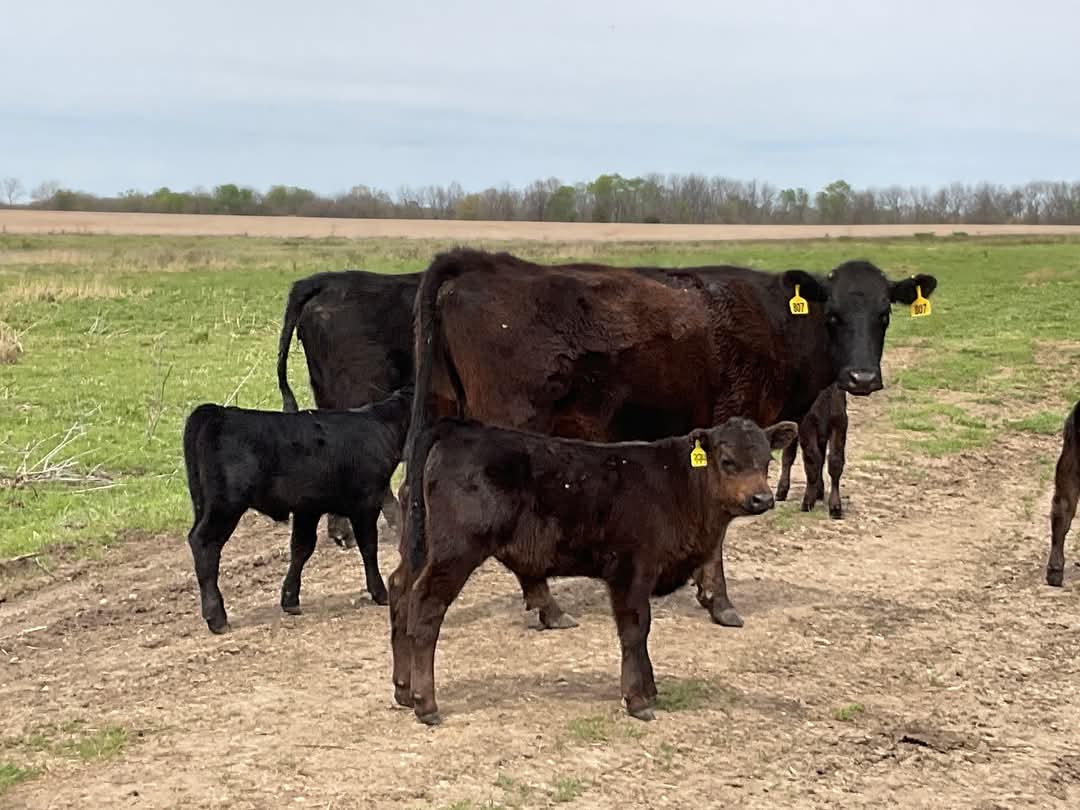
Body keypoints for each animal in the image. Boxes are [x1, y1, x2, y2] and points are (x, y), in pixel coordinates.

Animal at [181, 386, 412, 634]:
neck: (380, 426)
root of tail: (217, 412)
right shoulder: (366, 503)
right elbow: (368, 547)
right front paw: (380, 593)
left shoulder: (308, 508)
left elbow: (301, 548)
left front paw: (290, 599)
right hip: (225, 505)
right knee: (204, 544)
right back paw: (217, 617)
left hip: (205, 504)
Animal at [389, 416, 798, 725]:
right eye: (727, 461)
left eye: (766, 460)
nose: (762, 498)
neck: (679, 487)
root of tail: (458, 429)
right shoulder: (631, 571)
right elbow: (635, 630)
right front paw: (638, 699)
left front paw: (650, 690)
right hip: (456, 551)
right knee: (426, 606)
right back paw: (426, 704)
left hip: (421, 548)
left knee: (400, 593)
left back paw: (404, 690)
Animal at [774, 384, 849, 518]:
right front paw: (819, 490)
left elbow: (788, 457)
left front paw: (781, 492)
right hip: (840, 424)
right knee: (835, 462)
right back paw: (835, 507)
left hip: (808, 426)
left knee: (812, 461)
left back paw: (807, 502)